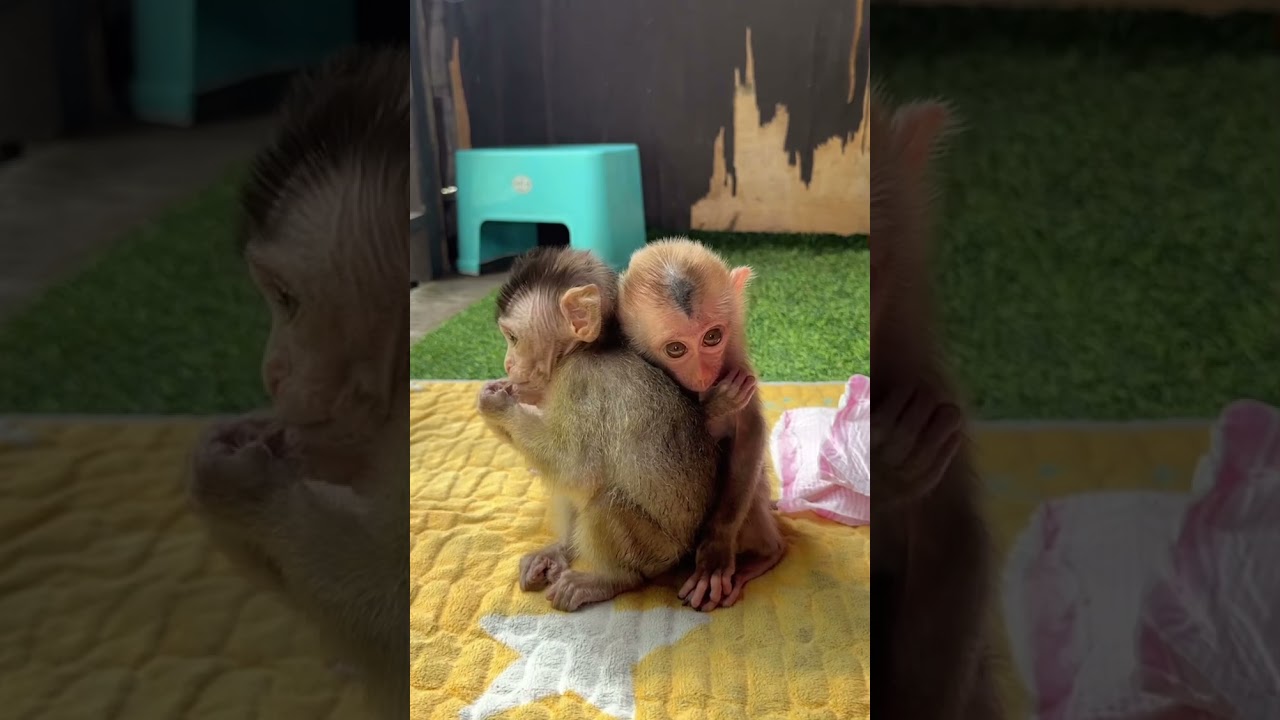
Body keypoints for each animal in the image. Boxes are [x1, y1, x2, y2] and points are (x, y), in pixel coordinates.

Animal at [477, 245, 723, 613]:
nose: (508, 363)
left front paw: (498, 406)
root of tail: (685, 551)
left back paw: (611, 579)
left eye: (513, 338)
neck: (583, 350)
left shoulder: (580, 381)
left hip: (659, 552)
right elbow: (567, 476)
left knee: (604, 499)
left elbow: (577, 469)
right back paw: (562, 551)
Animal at [616, 239, 787, 612]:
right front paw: (715, 407)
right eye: (676, 349)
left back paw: (765, 555)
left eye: (712, 337)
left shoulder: (734, 354)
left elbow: (749, 432)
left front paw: (716, 551)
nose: (704, 373)